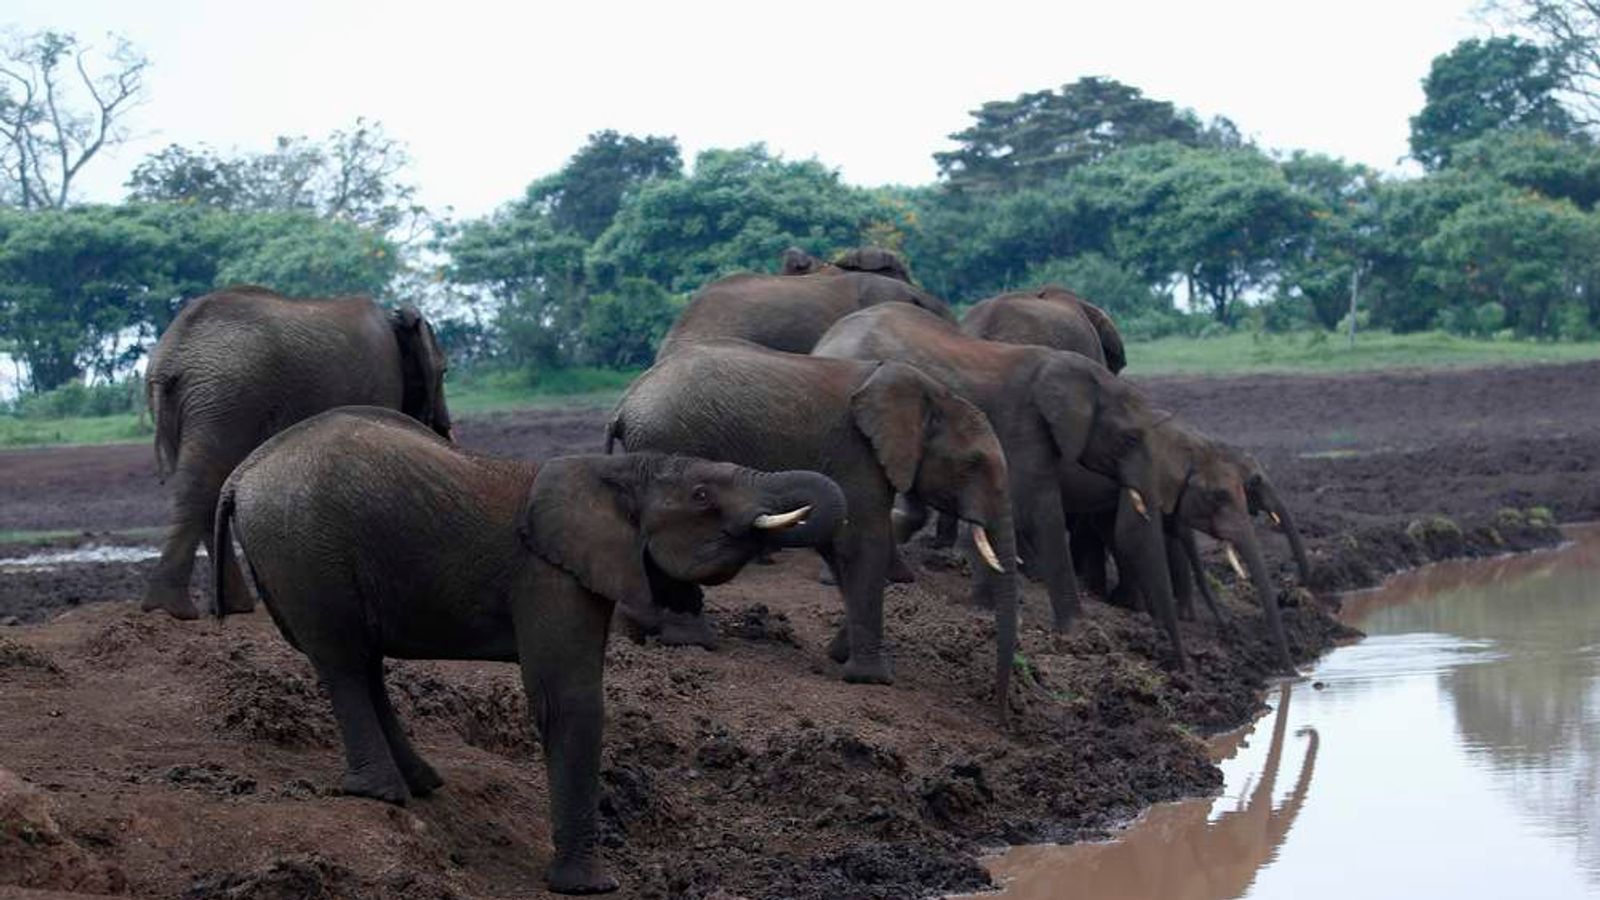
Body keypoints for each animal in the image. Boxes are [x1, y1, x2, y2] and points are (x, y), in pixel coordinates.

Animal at [141, 285, 452, 620]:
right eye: (445, 371)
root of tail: (172, 355)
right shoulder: (382, 378)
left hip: (202, 399)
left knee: (205, 486)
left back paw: (226, 607)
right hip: (225, 397)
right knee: (202, 483)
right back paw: (174, 609)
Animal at [211, 406, 844, 895]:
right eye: (702, 494)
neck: (615, 471)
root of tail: (242, 471)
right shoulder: (547, 573)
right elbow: (569, 700)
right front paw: (588, 887)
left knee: (363, 662)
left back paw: (423, 783)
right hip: (305, 549)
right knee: (343, 660)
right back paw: (384, 792)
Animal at [606, 339, 1020, 714]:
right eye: (973, 464)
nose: (999, 712)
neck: (932, 393)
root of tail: (626, 401)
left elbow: (840, 545)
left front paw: (838, 654)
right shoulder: (858, 455)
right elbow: (860, 542)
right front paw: (871, 679)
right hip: (671, 443)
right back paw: (693, 641)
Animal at [812, 304, 1188, 669]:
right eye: (1131, 439)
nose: (1178, 667)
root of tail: (824, 343)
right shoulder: (1024, 428)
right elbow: (1041, 512)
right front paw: (1081, 634)